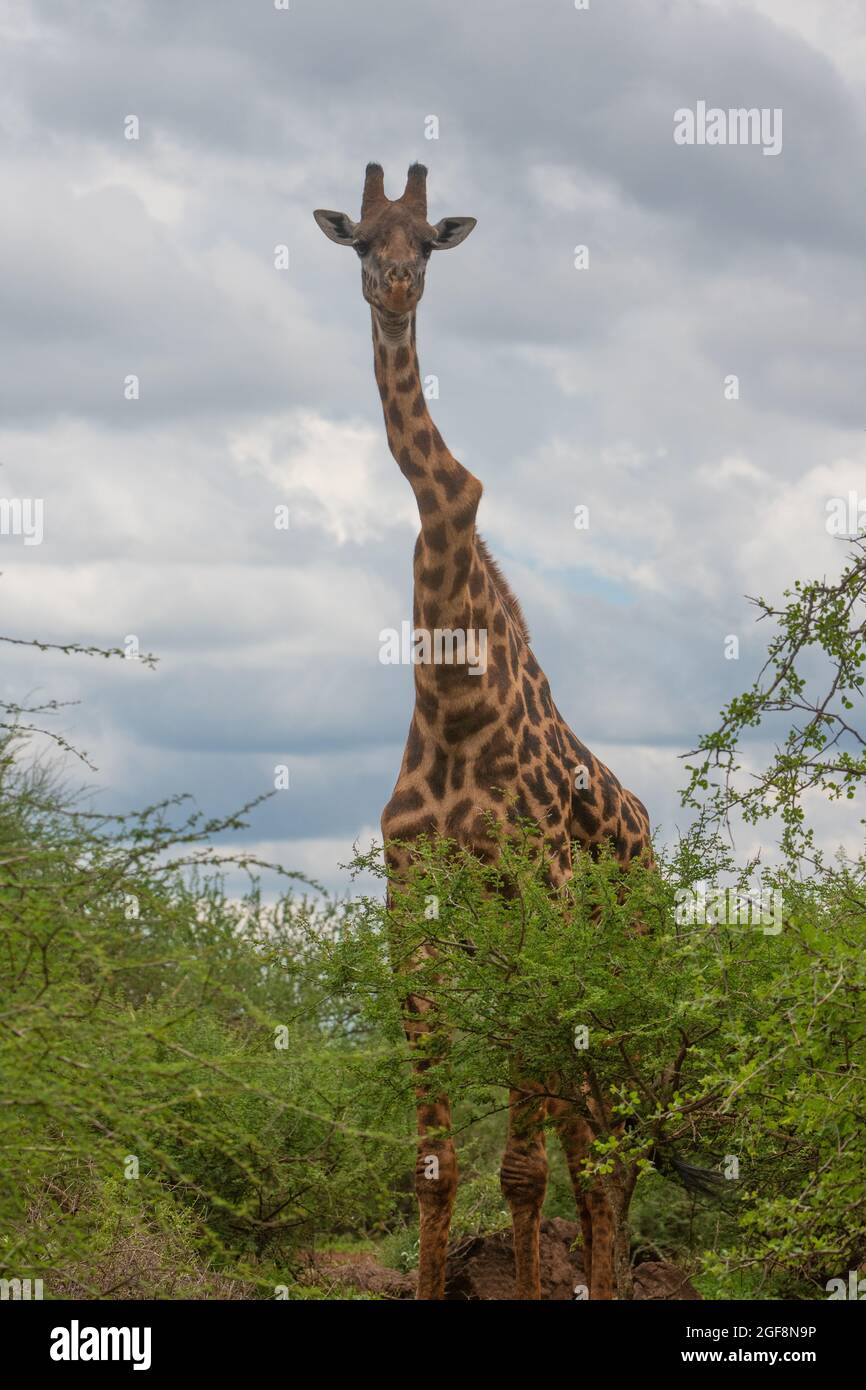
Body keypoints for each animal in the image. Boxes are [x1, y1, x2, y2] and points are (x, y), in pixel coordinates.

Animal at [314, 163, 653, 1300]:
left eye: (426, 238)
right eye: (359, 237)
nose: (395, 287)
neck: (452, 698)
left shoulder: (533, 904)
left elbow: (520, 1170)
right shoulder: (410, 901)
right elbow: (438, 1163)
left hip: (622, 967)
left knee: (610, 1153)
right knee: (594, 1146)